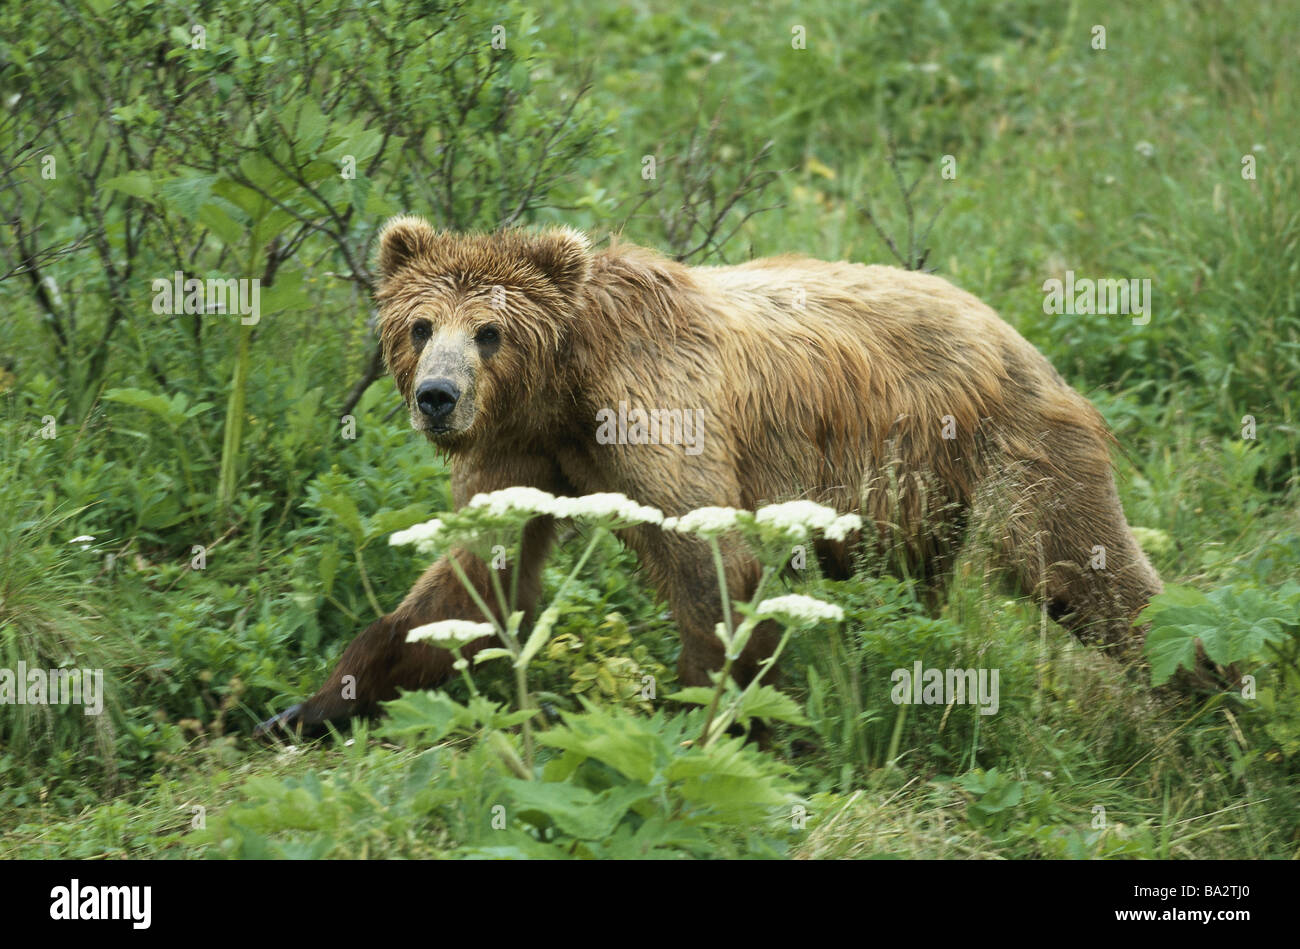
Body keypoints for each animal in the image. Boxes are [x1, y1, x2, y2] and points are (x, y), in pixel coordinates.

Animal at [255, 217, 1163, 736]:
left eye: (488, 331)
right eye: (419, 324)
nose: (438, 396)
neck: (562, 391)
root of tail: (1009, 323)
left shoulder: (657, 416)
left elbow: (716, 567)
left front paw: (716, 716)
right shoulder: (522, 456)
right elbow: (476, 577)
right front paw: (307, 705)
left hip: (1003, 443)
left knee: (1082, 568)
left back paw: (1189, 688)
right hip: (906, 497)